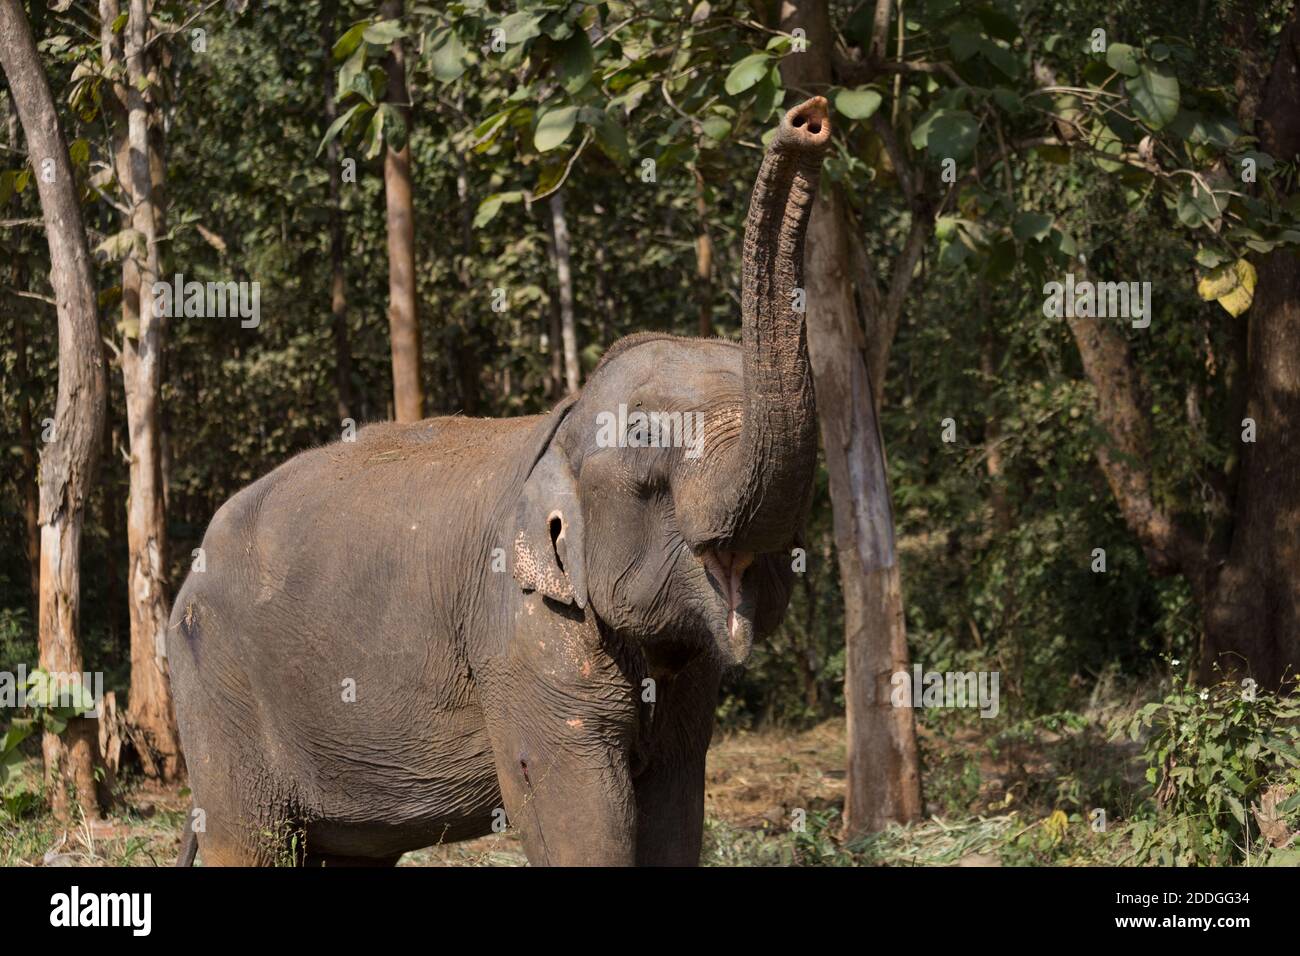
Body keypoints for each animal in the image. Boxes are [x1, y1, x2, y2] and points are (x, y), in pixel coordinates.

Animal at [167, 96, 832, 866]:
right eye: (645, 441)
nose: (810, 117)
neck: (559, 423)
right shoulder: (516, 635)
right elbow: (571, 803)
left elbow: (674, 794)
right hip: (217, 695)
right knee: (251, 840)